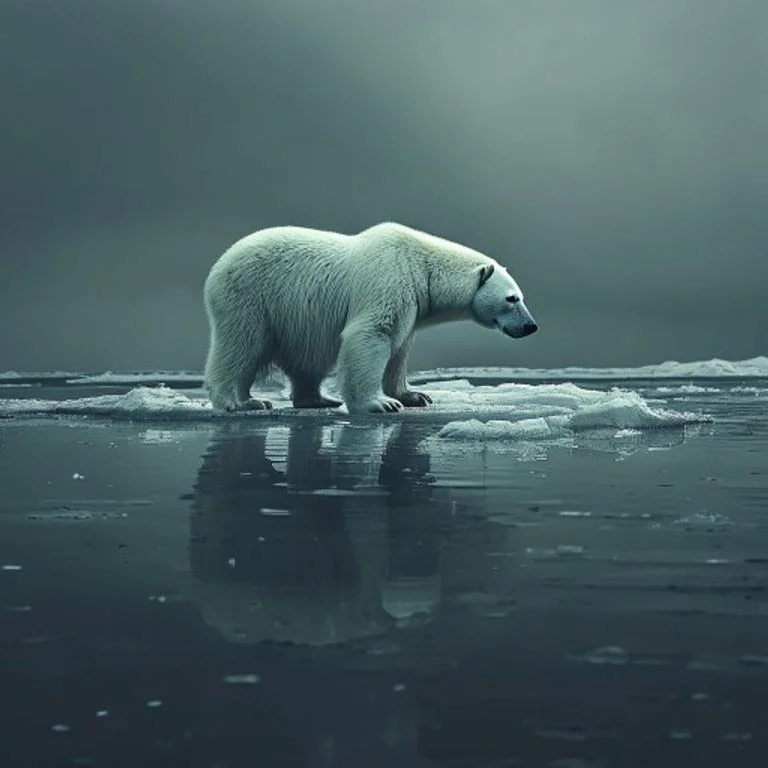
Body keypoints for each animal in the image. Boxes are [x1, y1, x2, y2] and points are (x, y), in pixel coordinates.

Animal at [203, 222, 537, 414]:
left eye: (521, 296)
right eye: (512, 299)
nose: (531, 326)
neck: (423, 267)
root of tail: (218, 266)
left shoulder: (412, 303)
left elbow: (400, 349)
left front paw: (416, 395)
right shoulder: (389, 276)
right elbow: (372, 333)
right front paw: (381, 403)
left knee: (307, 362)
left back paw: (318, 399)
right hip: (251, 296)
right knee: (241, 345)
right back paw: (242, 402)